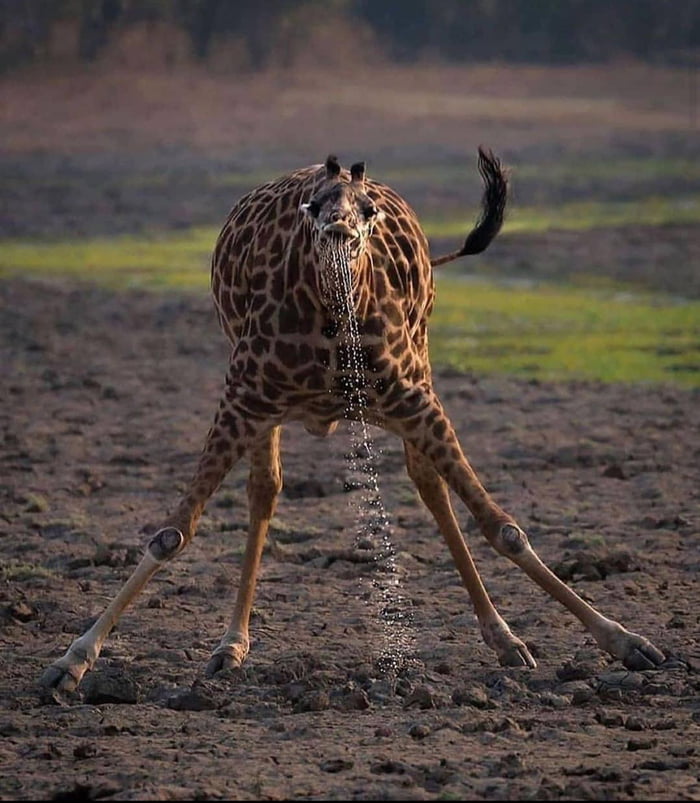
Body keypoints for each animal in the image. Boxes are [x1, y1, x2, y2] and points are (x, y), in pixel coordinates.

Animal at [41, 148, 665, 692]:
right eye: (313, 205)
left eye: (366, 210)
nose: (340, 229)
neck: (330, 315)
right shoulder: (243, 397)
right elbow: (172, 533)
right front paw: (71, 662)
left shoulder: (413, 398)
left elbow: (503, 527)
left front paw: (628, 643)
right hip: (267, 403)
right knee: (266, 490)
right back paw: (230, 645)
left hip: (419, 366)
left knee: (428, 485)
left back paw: (506, 639)